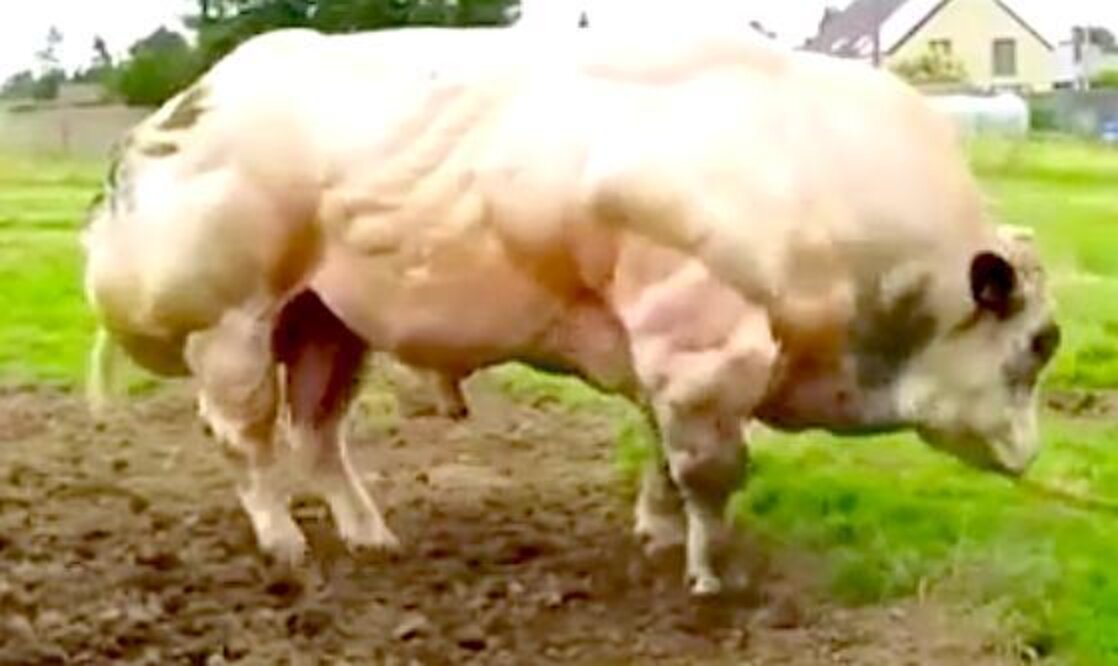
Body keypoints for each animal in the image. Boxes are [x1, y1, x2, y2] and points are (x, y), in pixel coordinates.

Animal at [81, 23, 1060, 597]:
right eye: (1040, 342)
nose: (1030, 454)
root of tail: (182, 109)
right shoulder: (701, 352)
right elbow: (711, 471)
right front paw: (712, 580)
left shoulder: (670, 367)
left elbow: (665, 461)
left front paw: (657, 543)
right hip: (230, 321)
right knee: (245, 440)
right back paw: (284, 546)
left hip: (329, 322)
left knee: (318, 434)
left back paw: (374, 539)